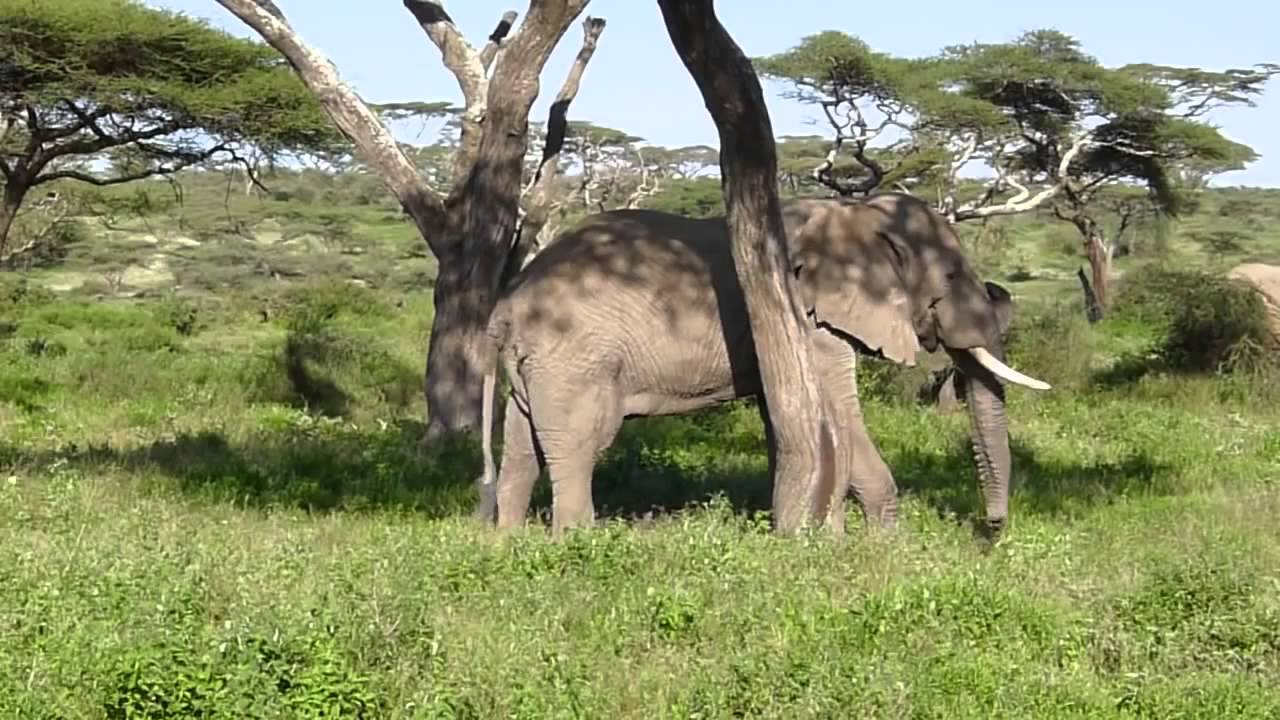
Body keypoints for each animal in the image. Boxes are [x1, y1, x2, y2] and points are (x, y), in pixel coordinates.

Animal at [475, 192, 1051, 538]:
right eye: (950, 276)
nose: (991, 528)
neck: (858, 212)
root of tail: (505, 307)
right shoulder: (812, 319)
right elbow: (840, 412)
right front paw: (881, 543)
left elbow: (783, 418)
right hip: (575, 361)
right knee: (578, 446)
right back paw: (575, 545)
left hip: (541, 366)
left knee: (523, 448)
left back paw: (507, 542)